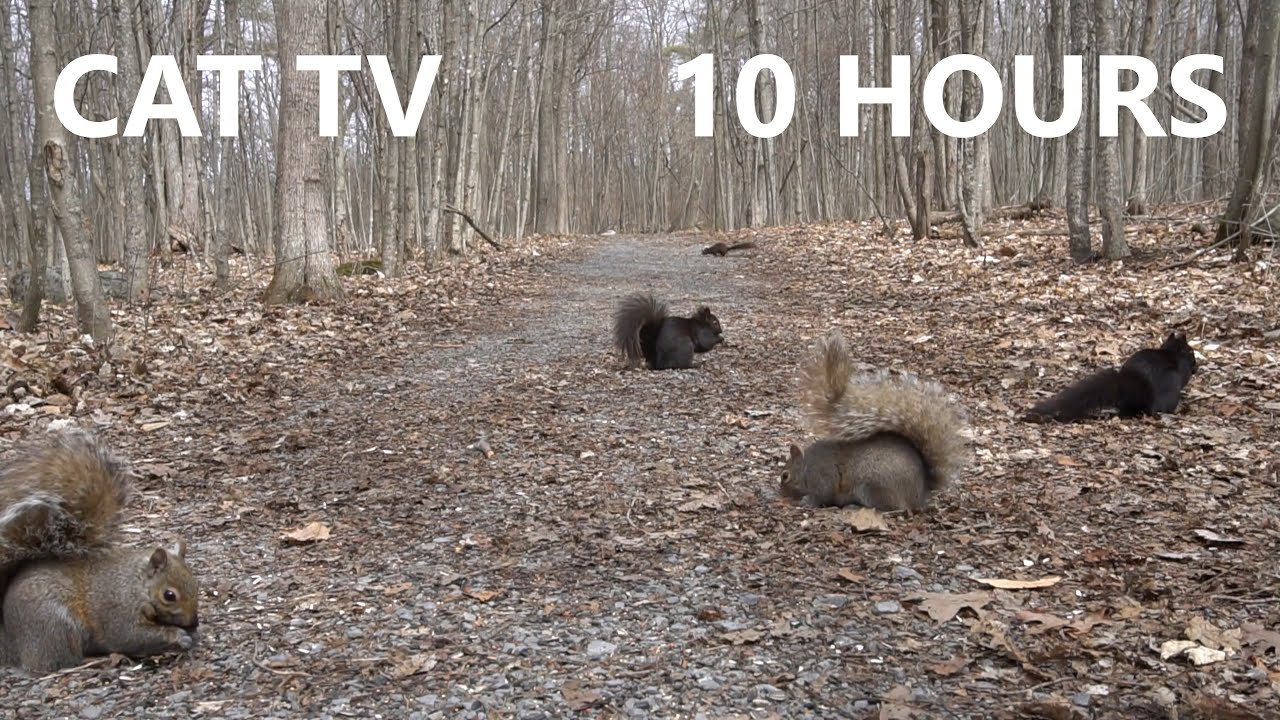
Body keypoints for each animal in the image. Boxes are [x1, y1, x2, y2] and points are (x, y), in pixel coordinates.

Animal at [0, 429, 199, 672]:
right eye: (169, 595)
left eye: (196, 584)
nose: (194, 623)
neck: (136, 583)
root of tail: (11, 646)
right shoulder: (117, 607)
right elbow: (129, 635)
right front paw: (177, 636)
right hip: (54, 625)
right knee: (58, 660)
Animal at [779, 333, 969, 512]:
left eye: (785, 475)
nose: (780, 494)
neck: (806, 466)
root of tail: (921, 493)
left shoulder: (823, 476)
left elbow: (823, 494)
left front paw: (808, 501)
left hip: (874, 486)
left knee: (895, 508)